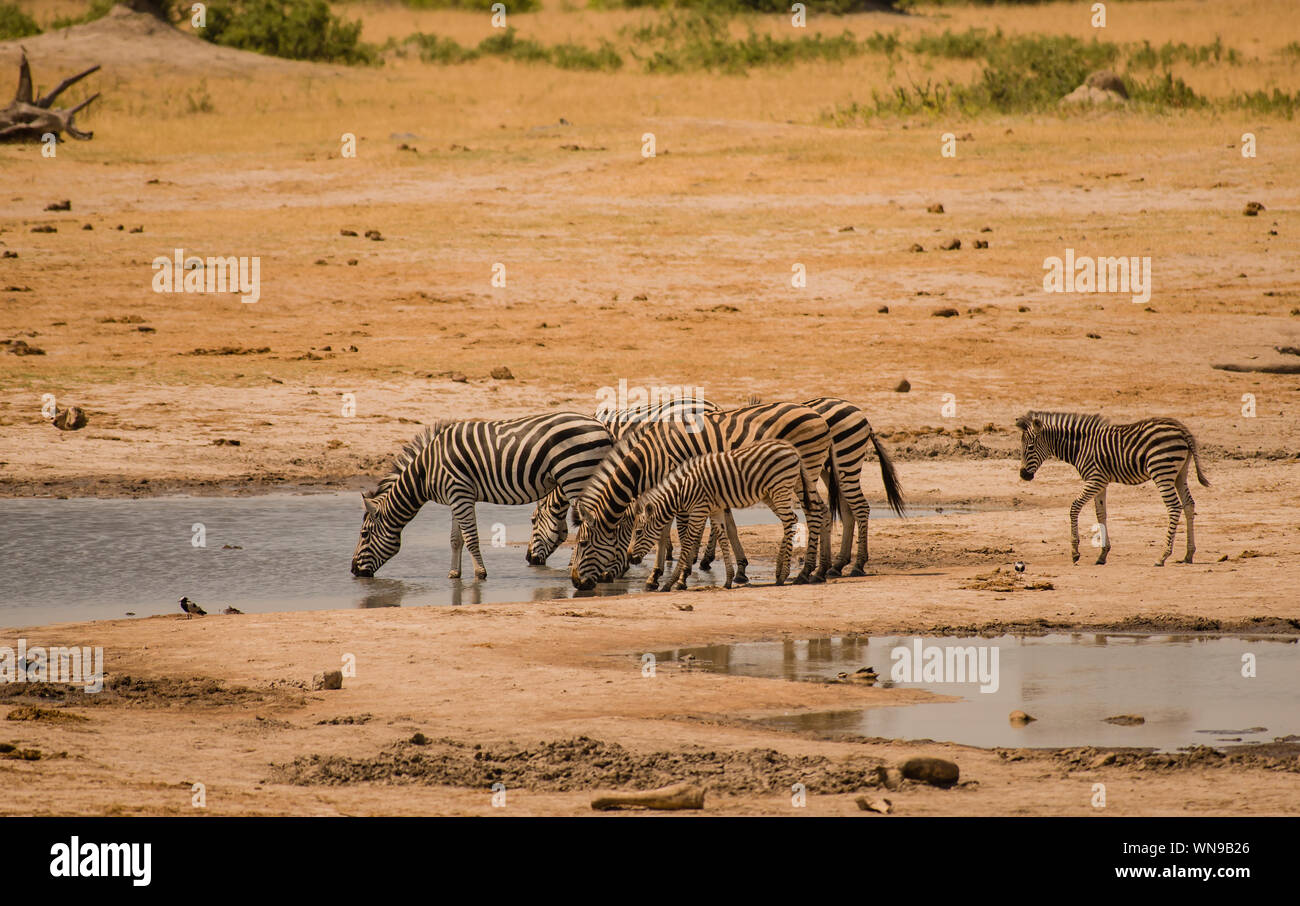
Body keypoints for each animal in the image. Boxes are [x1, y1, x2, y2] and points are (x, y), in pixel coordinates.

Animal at [351, 413, 613, 579]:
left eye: (364, 535)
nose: (353, 571)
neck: (425, 472)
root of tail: (602, 426)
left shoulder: (460, 493)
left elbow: (471, 538)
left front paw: (480, 573)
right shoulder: (456, 497)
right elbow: (455, 539)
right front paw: (454, 574)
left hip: (577, 477)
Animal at [629, 440, 817, 591]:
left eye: (638, 532)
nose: (630, 558)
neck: (683, 491)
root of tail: (791, 449)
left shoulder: (698, 510)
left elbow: (687, 543)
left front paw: (671, 583)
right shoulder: (715, 510)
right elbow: (723, 537)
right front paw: (728, 580)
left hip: (780, 488)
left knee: (789, 521)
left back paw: (783, 574)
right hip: (774, 492)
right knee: (791, 520)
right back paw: (779, 572)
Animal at [1015, 411, 1209, 566]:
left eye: (1030, 447)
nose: (1023, 475)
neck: (1080, 447)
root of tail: (1182, 429)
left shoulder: (1095, 479)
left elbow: (1074, 507)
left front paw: (1075, 552)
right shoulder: (1101, 482)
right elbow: (1101, 513)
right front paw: (1102, 554)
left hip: (1162, 470)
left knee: (1174, 507)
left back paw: (1162, 557)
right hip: (1180, 473)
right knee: (1189, 505)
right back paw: (1188, 554)